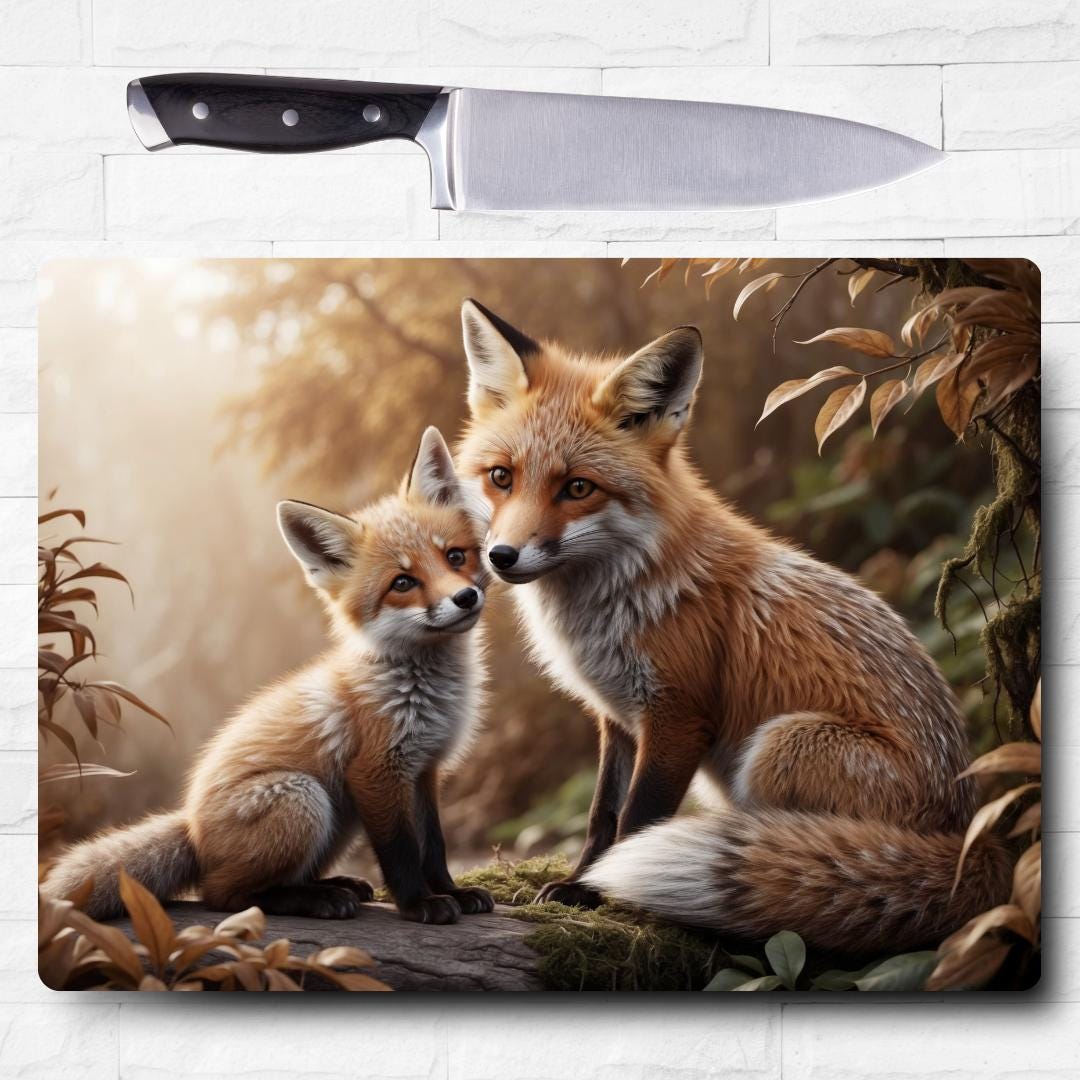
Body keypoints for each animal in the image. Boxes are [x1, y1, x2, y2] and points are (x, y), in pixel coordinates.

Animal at [43, 427, 494, 925]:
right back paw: (316, 899)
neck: (427, 691)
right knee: (224, 895)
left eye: (455, 556)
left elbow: (433, 846)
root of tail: (192, 826)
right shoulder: (377, 771)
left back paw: (334, 885)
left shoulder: (425, 771)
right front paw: (419, 904)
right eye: (402, 583)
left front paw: (452, 891)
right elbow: (401, 853)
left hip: (338, 820)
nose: (465, 598)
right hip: (305, 798)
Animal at [454, 298, 1011, 953]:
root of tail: (970, 843)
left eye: (577, 488)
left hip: (778, 745)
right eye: (501, 477)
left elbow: (637, 818)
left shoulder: (678, 715)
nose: (502, 557)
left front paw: (601, 894)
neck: (627, 589)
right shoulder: (617, 715)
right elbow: (601, 815)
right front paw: (578, 883)